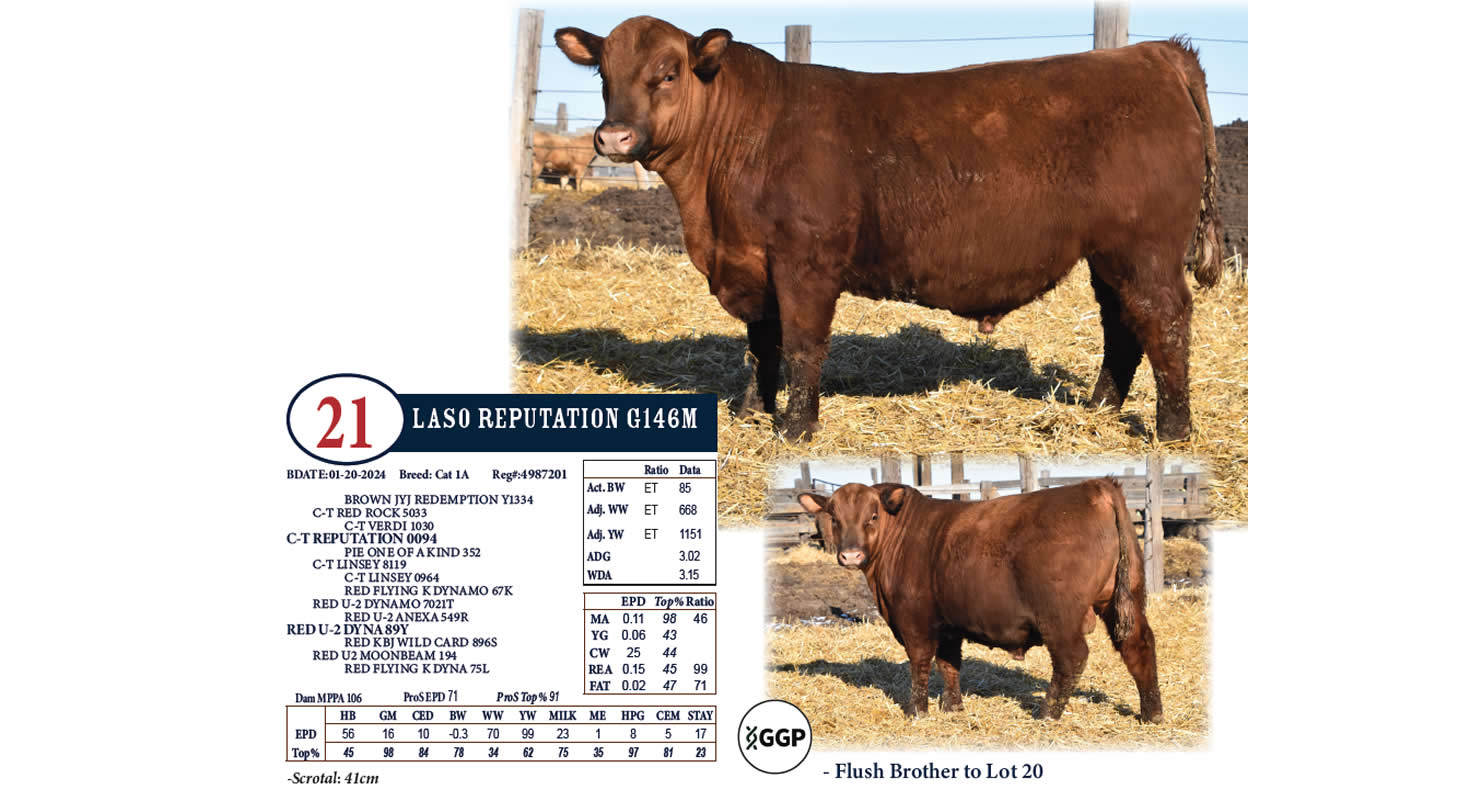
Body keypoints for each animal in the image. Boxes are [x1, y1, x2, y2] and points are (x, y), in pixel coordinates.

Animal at [554, 17, 1223, 441]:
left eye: (668, 73)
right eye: (604, 75)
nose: (612, 137)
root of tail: (1153, 53)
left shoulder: (804, 263)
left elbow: (801, 345)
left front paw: (795, 428)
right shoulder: (751, 262)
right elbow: (760, 344)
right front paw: (750, 413)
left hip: (1145, 249)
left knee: (1164, 319)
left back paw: (1172, 429)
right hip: (1109, 254)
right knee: (1122, 324)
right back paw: (1099, 406)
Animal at [798, 480, 1162, 723]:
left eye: (872, 516)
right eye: (833, 517)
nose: (850, 555)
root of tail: (1096, 486)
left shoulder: (914, 620)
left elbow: (920, 663)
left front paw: (918, 712)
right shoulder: (947, 624)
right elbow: (948, 664)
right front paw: (953, 707)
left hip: (1060, 615)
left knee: (1072, 658)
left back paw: (1046, 714)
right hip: (1124, 599)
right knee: (1138, 646)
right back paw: (1152, 713)